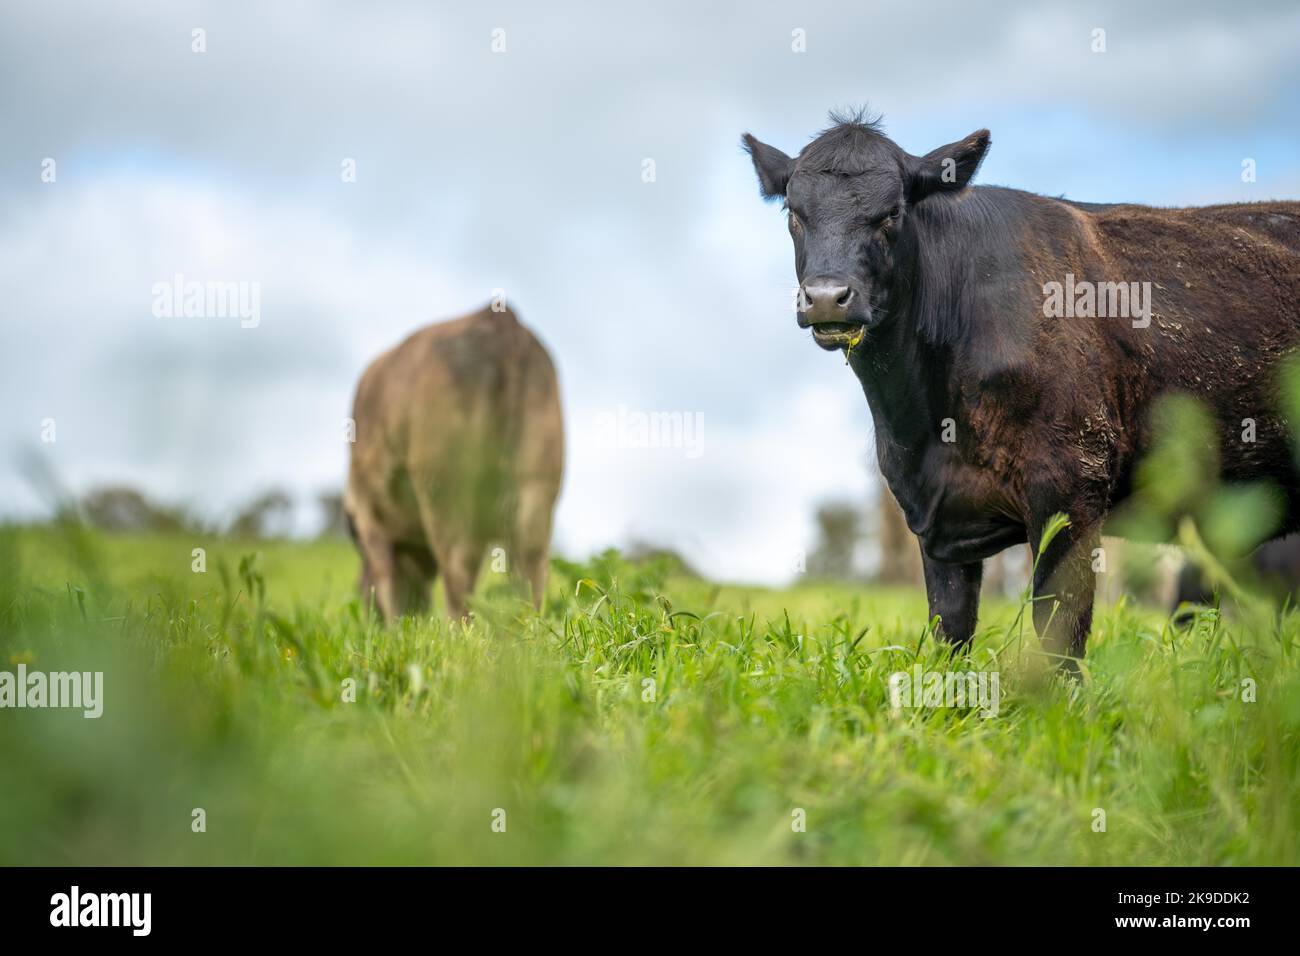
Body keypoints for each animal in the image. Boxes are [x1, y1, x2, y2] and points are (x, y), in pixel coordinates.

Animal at [344, 303, 564, 620]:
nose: (371, 617)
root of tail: (500, 322)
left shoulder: (372, 519)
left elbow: (388, 583)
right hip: (536, 485)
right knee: (531, 563)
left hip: (446, 491)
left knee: (459, 566)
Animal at [743, 109, 1300, 670]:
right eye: (794, 212)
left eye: (893, 212)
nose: (826, 297)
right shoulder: (934, 518)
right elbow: (951, 632)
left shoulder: (1072, 486)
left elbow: (1058, 634)